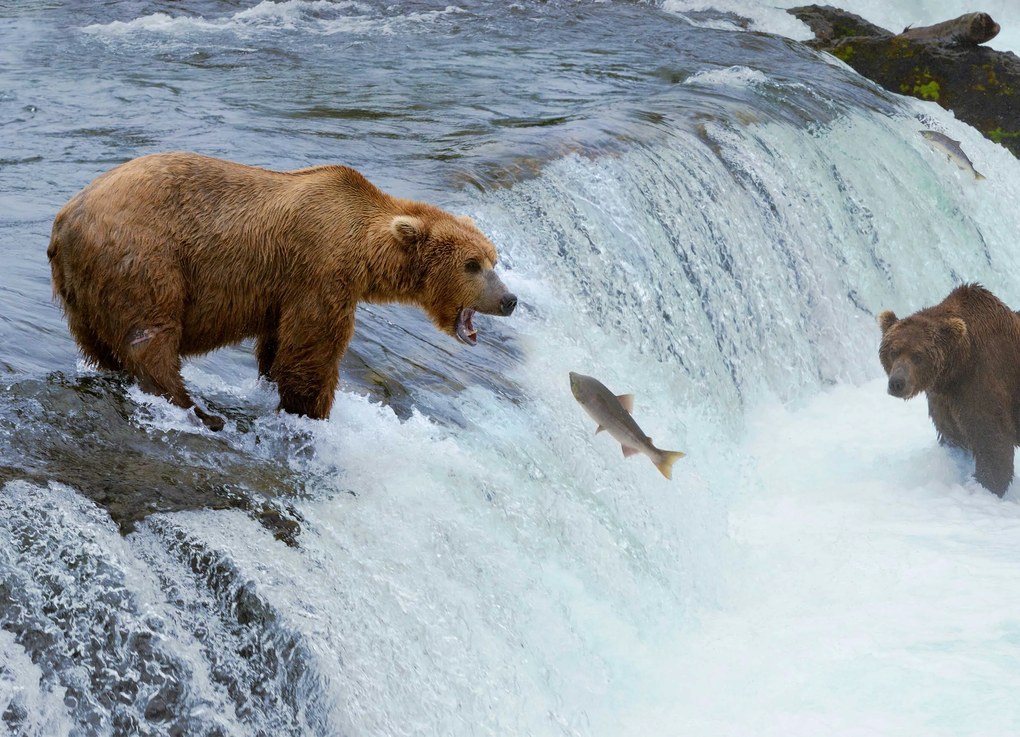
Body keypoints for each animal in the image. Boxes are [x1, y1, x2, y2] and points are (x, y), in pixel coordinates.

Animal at [45, 153, 518, 432]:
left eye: (493, 259)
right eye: (472, 264)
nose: (509, 300)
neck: (364, 250)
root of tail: (65, 218)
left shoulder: (285, 290)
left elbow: (278, 346)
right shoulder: (320, 272)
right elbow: (312, 350)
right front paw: (312, 410)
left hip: (81, 290)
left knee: (99, 343)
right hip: (144, 258)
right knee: (151, 336)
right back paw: (198, 410)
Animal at [877, 285, 1020, 499]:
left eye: (917, 355)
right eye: (893, 351)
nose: (897, 383)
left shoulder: (984, 382)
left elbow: (992, 442)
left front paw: (986, 487)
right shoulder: (944, 398)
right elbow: (953, 434)